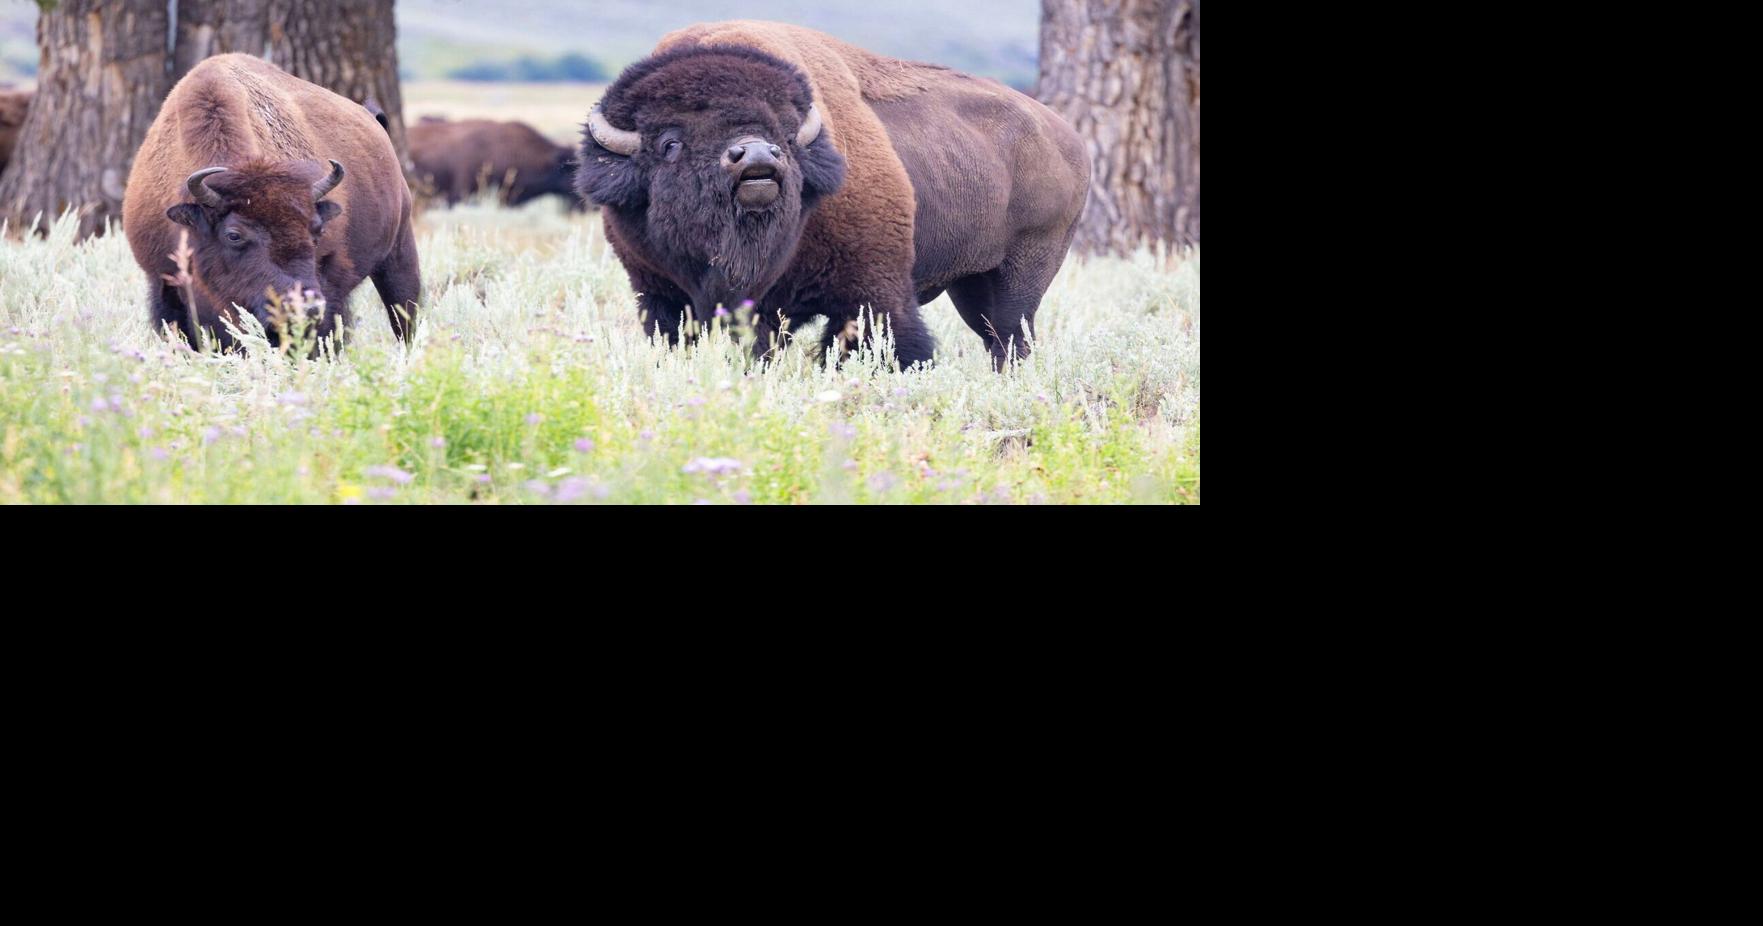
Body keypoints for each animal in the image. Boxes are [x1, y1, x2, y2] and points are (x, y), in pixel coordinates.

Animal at [122, 54, 420, 348]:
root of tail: (373, 119)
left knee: (404, 317)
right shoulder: (164, 283)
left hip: (399, 253)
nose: (306, 308)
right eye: (233, 235)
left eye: (317, 230)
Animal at [576, 20, 1089, 368]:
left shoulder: (873, 293)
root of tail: (1068, 136)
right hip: (971, 281)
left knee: (1009, 337)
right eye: (669, 143)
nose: (757, 155)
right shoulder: (661, 297)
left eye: (784, 134)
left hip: (1020, 274)